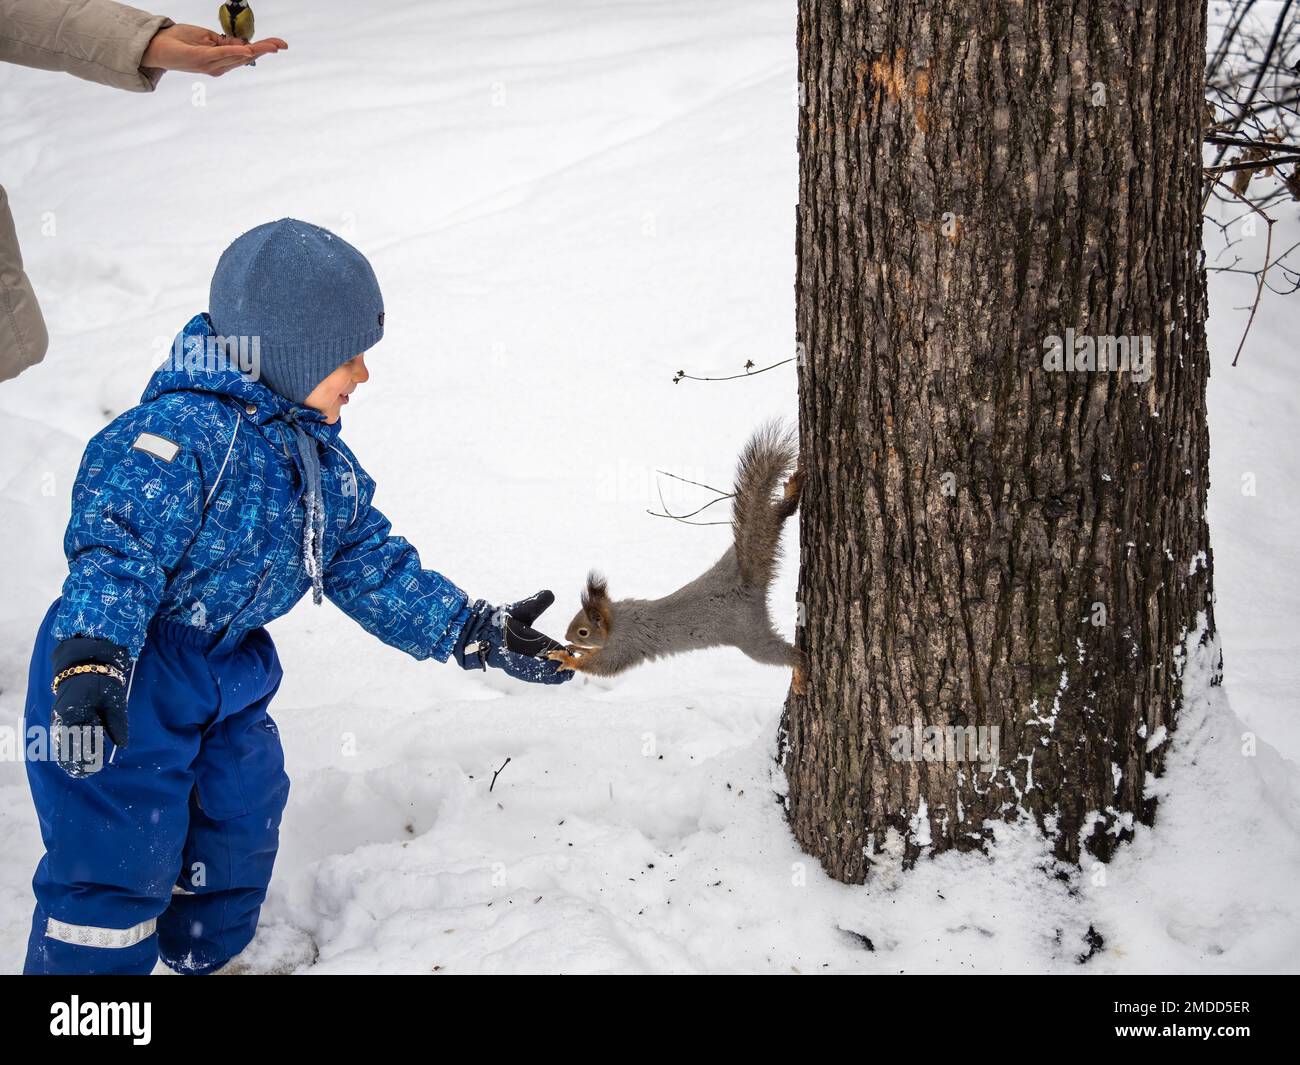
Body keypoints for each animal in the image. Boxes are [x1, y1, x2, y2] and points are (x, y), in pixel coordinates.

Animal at [547, 420, 807, 694]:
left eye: (583, 631)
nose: (567, 637)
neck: (616, 619)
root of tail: (744, 584)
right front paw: (573, 650)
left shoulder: (625, 643)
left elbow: (604, 665)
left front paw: (567, 657)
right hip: (735, 553)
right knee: (772, 518)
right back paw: (790, 494)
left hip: (749, 634)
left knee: (782, 654)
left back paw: (800, 669)